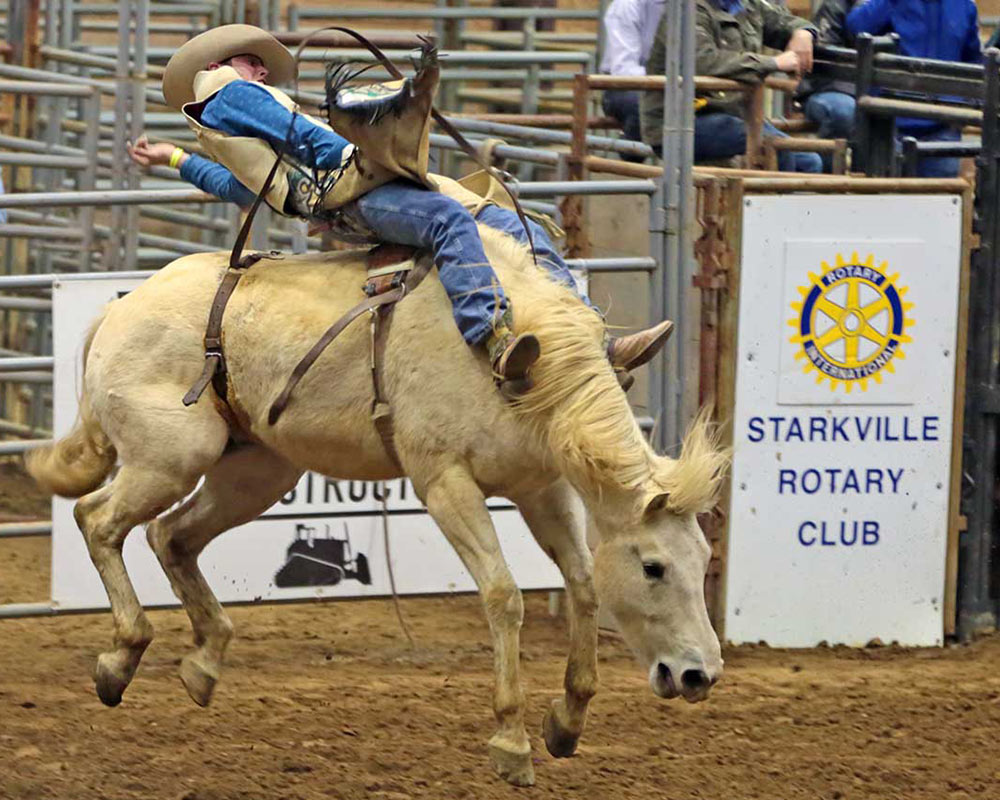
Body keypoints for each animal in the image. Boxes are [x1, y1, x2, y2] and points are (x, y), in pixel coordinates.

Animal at [27, 224, 728, 787]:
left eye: (703, 558)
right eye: (654, 568)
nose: (701, 676)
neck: (516, 361)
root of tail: (123, 308)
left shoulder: (541, 486)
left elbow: (582, 582)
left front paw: (568, 719)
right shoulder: (443, 480)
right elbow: (503, 595)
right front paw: (511, 740)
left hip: (257, 468)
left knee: (172, 535)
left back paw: (204, 661)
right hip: (168, 460)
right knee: (98, 520)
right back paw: (122, 656)